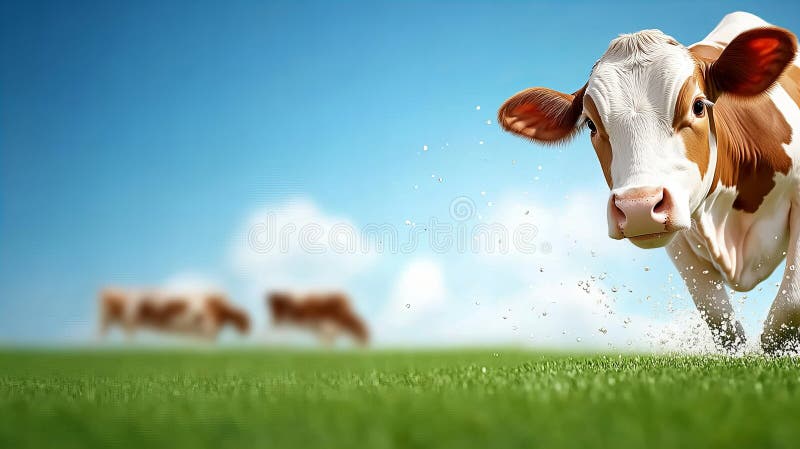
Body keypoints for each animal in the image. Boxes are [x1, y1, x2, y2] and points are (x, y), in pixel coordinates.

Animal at [498, 11, 800, 354]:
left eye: (698, 105)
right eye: (590, 124)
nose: (638, 206)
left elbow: (789, 305)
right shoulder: (681, 237)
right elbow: (718, 317)